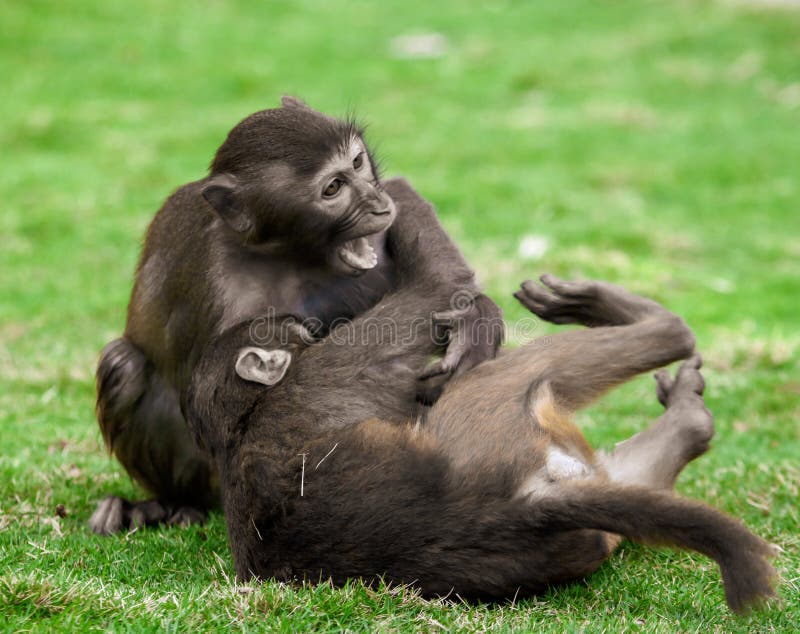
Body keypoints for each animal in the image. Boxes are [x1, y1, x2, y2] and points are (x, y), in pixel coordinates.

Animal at [90, 98, 503, 535]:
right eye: (333, 188)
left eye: (358, 162)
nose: (378, 204)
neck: (287, 252)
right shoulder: (224, 286)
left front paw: (476, 321)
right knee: (124, 366)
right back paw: (173, 503)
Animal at [183, 182, 776, 614]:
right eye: (291, 328)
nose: (308, 322)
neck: (242, 420)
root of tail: (516, 511)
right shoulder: (329, 372)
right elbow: (433, 289)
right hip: (494, 424)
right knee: (527, 375)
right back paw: (655, 329)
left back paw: (689, 419)